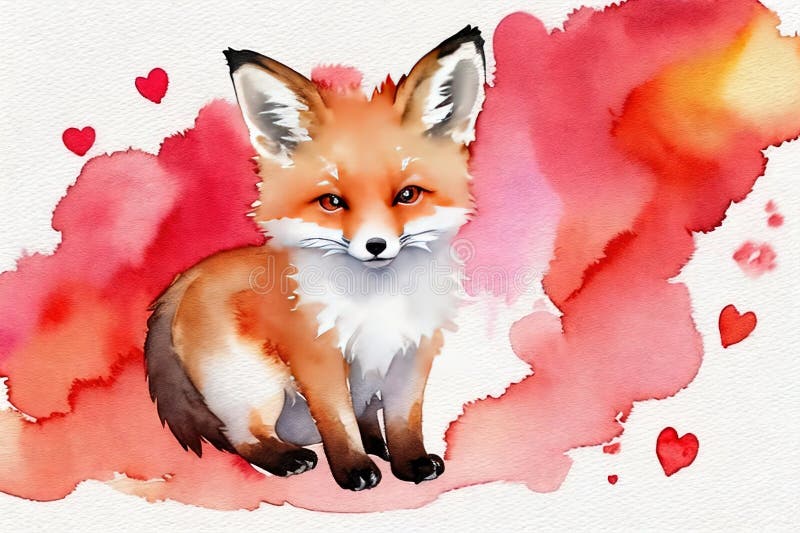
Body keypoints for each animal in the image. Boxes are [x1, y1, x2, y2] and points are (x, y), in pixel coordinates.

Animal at [144, 26, 486, 491]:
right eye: (332, 201)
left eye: (407, 195)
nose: (375, 245)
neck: (378, 303)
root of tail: (187, 278)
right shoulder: (318, 357)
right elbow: (337, 423)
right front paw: (354, 470)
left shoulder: (410, 356)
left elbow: (404, 421)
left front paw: (410, 463)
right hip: (254, 384)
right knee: (242, 437)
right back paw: (287, 458)